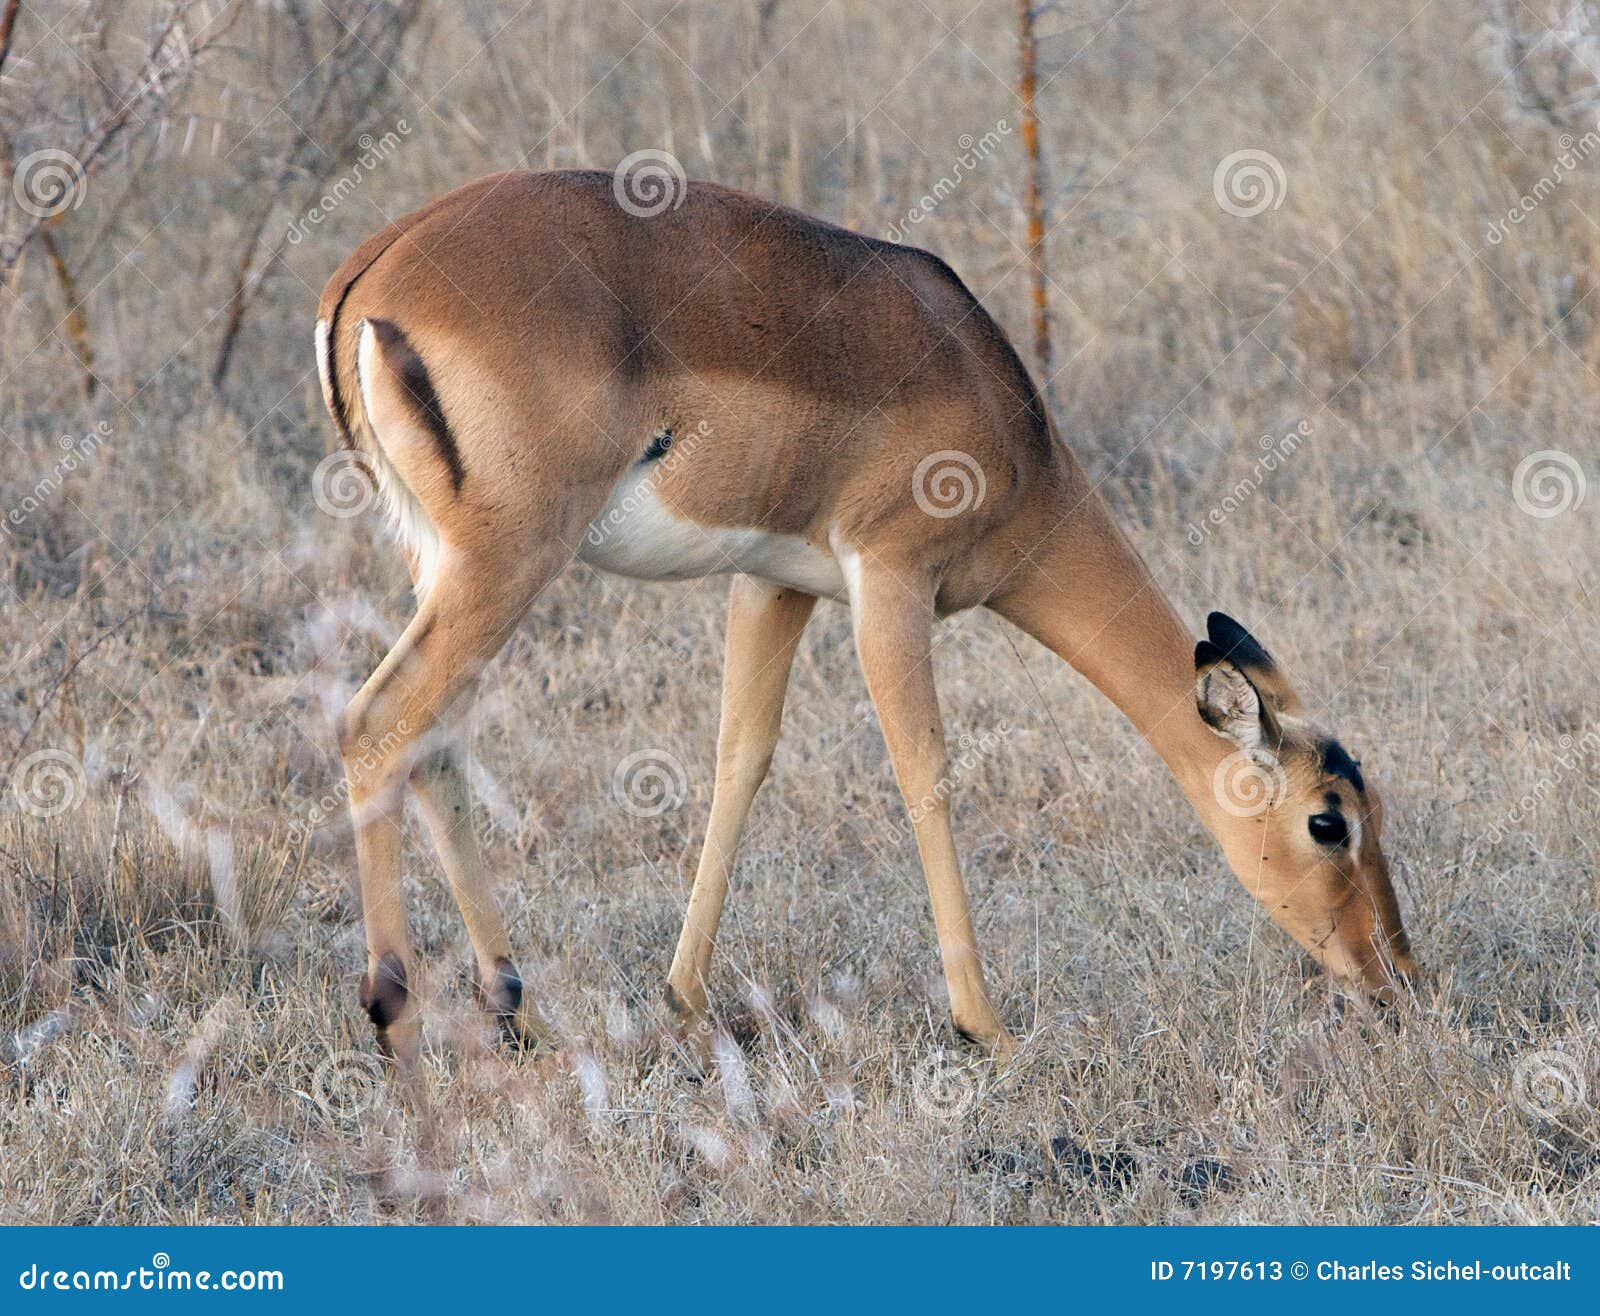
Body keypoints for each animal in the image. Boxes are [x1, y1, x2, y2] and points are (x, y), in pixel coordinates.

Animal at [314, 168, 1415, 1067]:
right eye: (1327, 820)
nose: (1394, 982)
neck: (1000, 413)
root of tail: (371, 274)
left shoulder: (775, 581)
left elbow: (740, 757)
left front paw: (685, 997)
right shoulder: (889, 577)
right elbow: (924, 769)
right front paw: (983, 1024)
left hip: (446, 563)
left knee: (435, 745)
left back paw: (520, 1011)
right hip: (509, 560)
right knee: (378, 723)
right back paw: (395, 1017)